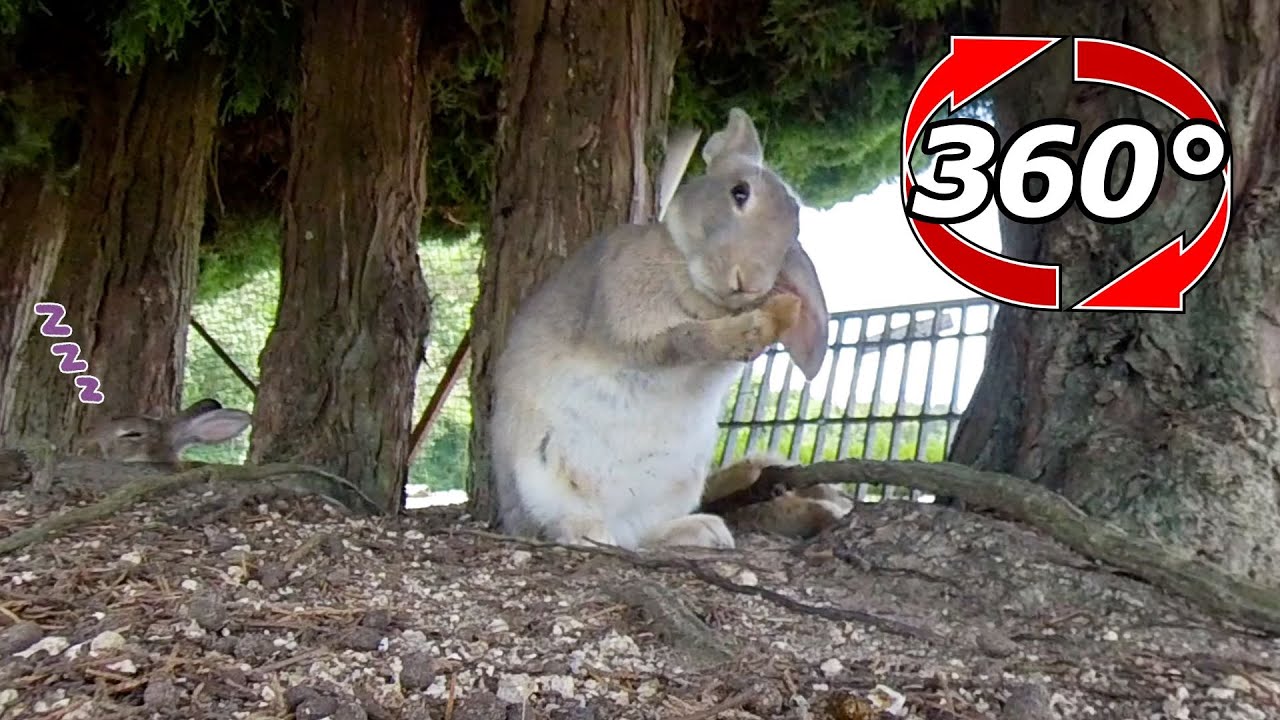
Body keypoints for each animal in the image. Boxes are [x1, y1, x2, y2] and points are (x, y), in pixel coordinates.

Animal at [489, 107, 830, 551]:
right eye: (739, 193)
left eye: (794, 230)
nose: (751, 281)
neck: (690, 275)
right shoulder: (632, 322)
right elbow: (686, 341)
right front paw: (757, 325)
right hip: (536, 473)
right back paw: (587, 532)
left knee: (645, 535)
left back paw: (704, 532)